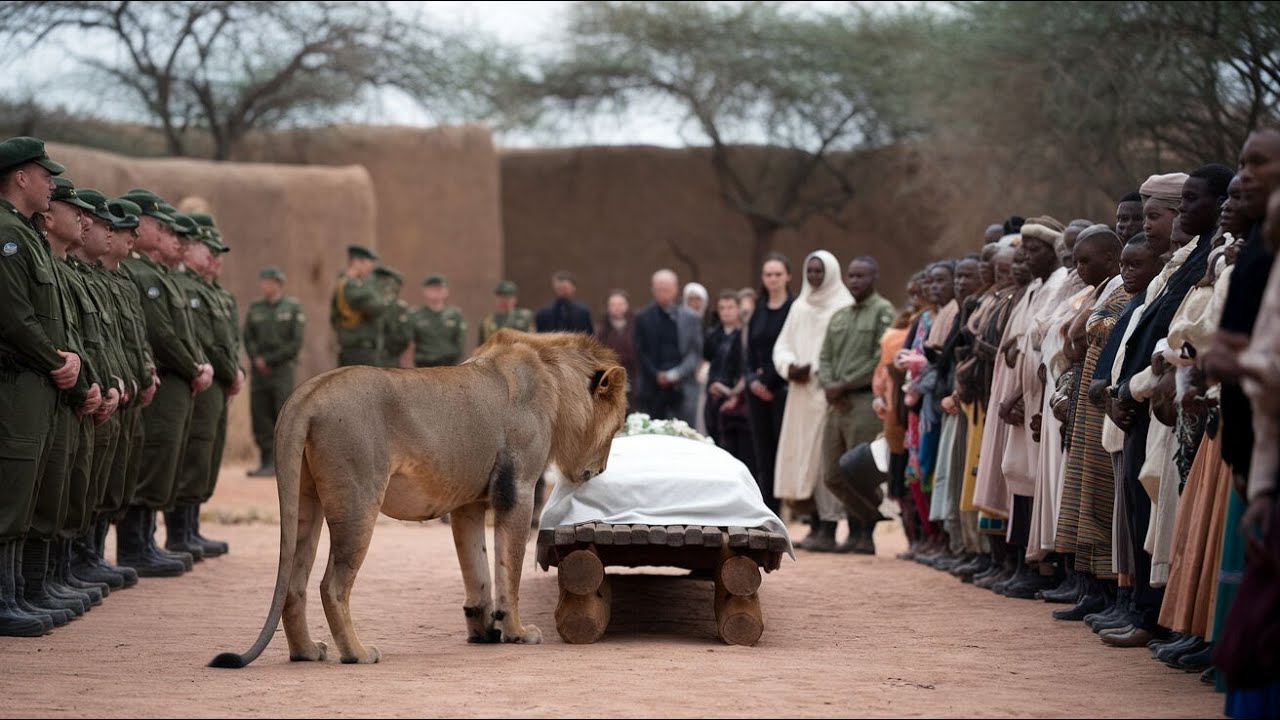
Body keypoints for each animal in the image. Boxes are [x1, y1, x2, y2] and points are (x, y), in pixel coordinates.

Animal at [209, 330, 628, 668]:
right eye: (616, 428)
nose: (601, 470)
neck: (552, 380)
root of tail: (307, 396)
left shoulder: (468, 503)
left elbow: (477, 571)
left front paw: (483, 631)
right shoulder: (518, 490)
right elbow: (509, 570)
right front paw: (518, 633)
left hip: (305, 503)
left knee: (294, 585)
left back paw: (309, 651)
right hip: (359, 500)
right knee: (332, 585)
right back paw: (357, 653)